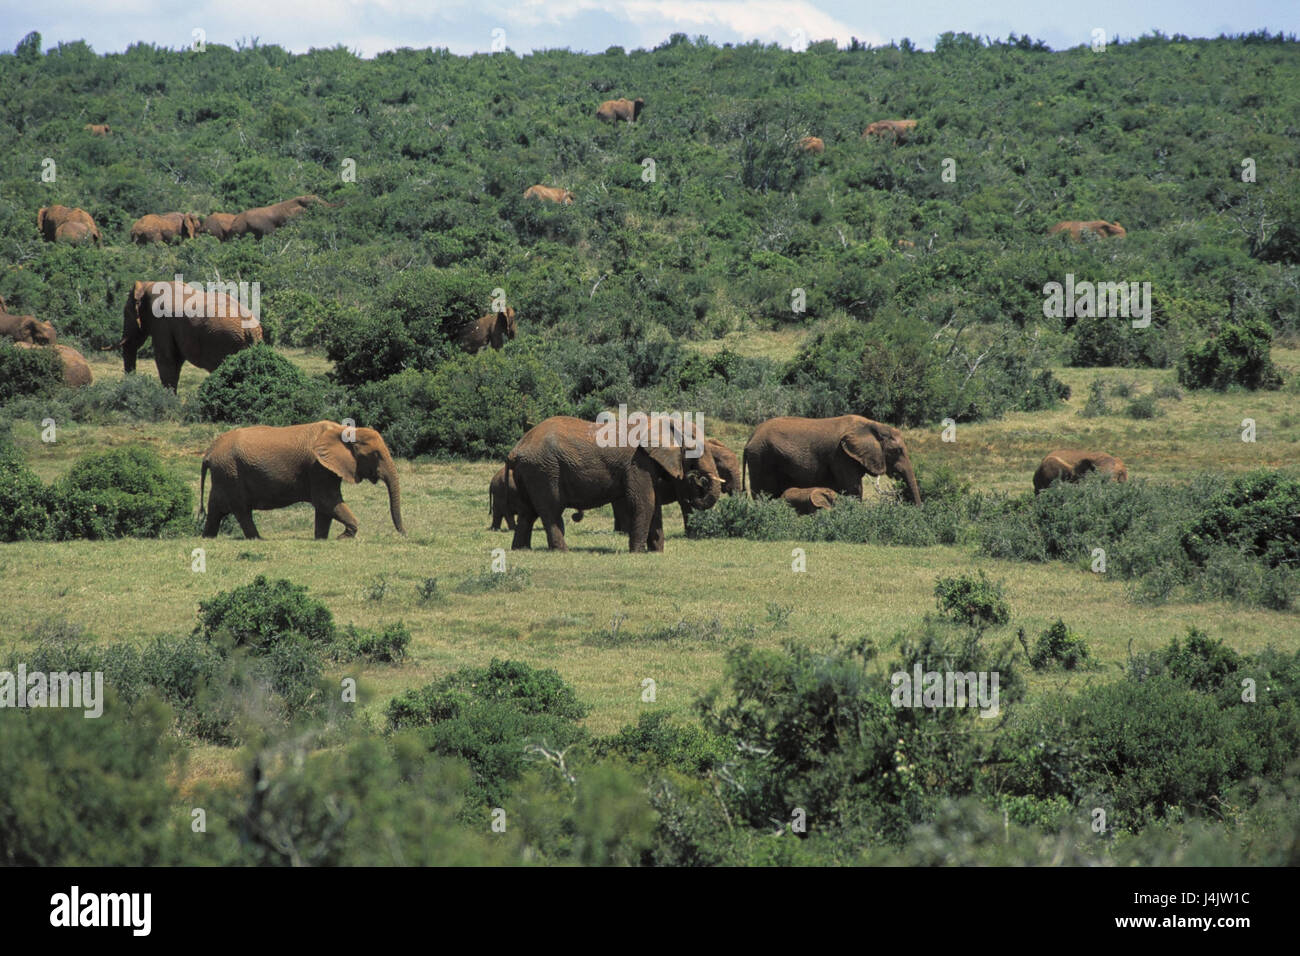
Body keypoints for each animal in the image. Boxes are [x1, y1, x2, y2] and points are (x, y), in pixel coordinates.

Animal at [200, 421, 405, 540]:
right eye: (376, 455)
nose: (404, 535)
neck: (344, 431)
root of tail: (209, 452)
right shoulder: (318, 467)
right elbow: (326, 501)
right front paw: (344, 537)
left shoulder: (325, 468)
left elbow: (325, 508)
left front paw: (322, 539)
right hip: (231, 472)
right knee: (242, 510)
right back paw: (258, 539)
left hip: (224, 474)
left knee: (216, 510)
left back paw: (207, 537)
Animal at [506, 415, 724, 552]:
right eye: (695, 448)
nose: (696, 477)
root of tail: (516, 449)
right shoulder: (638, 463)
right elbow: (644, 502)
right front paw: (637, 553)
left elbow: (654, 504)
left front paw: (656, 553)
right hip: (544, 470)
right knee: (550, 511)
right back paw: (563, 552)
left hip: (530, 472)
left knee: (528, 512)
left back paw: (521, 550)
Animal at [743, 415, 922, 506]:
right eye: (897, 451)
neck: (873, 425)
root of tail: (750, 437)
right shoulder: (841, 455)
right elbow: (854, 489)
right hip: (762, 457)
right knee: (765, 494)